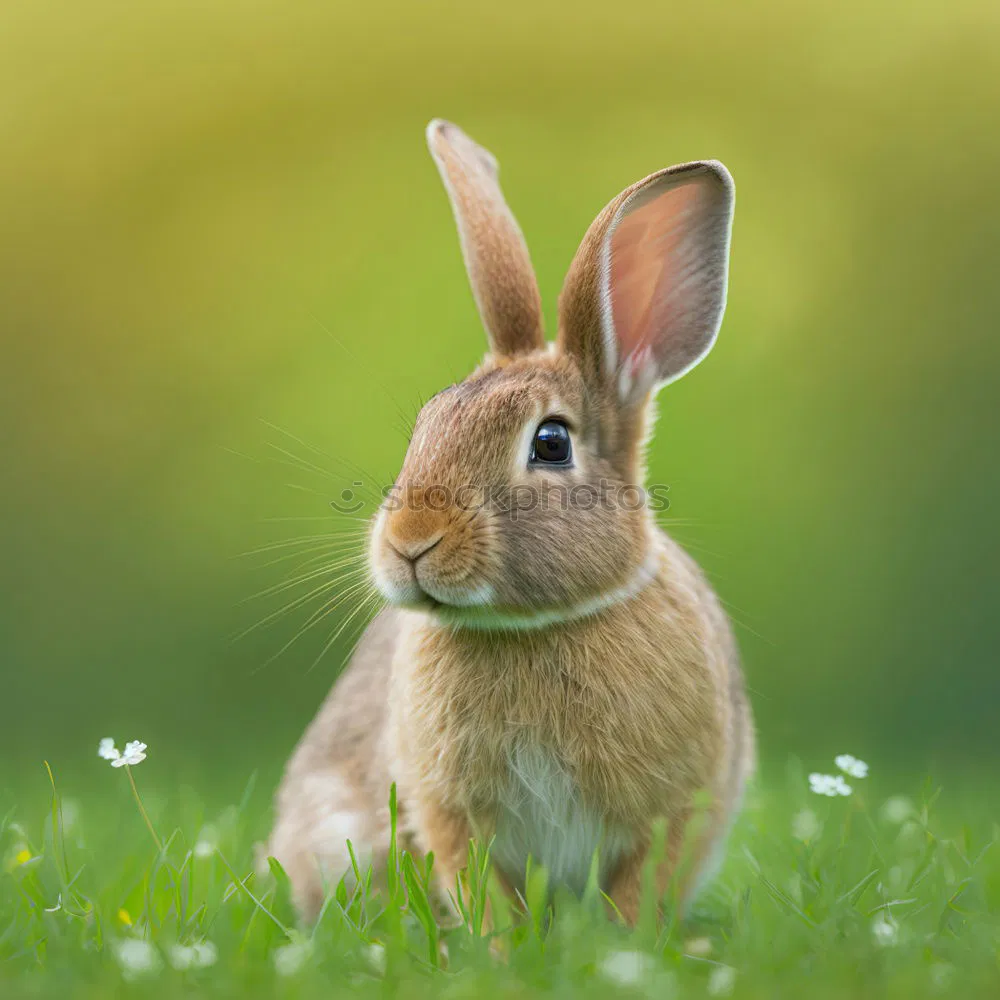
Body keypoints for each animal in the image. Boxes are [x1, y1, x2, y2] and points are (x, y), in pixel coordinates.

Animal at [270, 119, 754, 924]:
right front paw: (499, 948)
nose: (410, 542)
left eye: (551, 443)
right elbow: (482, 892)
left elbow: (641, 891)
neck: (532, 628)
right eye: (427, 424)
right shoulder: (451, 814)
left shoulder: (680, 808)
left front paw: (623, 943)